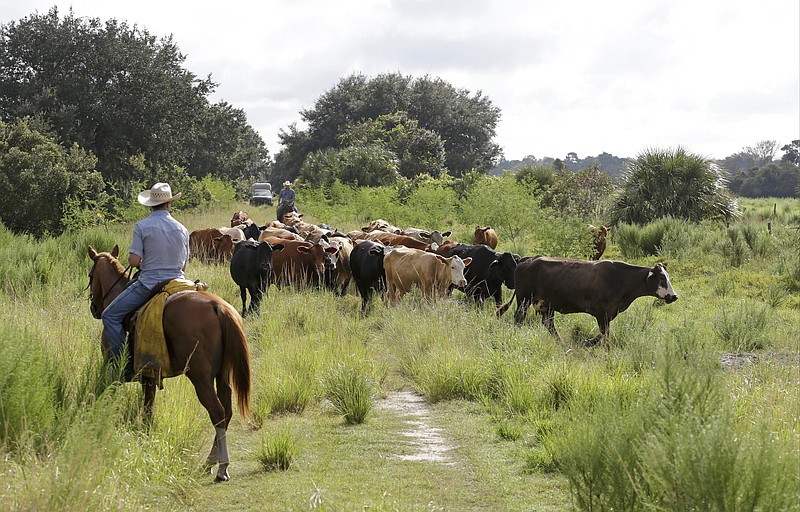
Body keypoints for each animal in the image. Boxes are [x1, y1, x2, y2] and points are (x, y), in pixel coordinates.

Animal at [497, 257, 678, 344]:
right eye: (662, 279)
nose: (674, 296)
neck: (621, 278)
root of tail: (527, 260)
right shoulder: (601, 312)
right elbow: (604, 334)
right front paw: (588, 343)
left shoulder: (608, 314)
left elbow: (604, 334)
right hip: (524, 299)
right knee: (519, 318)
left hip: (546, 305)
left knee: (549, 324)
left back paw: (561, 343)